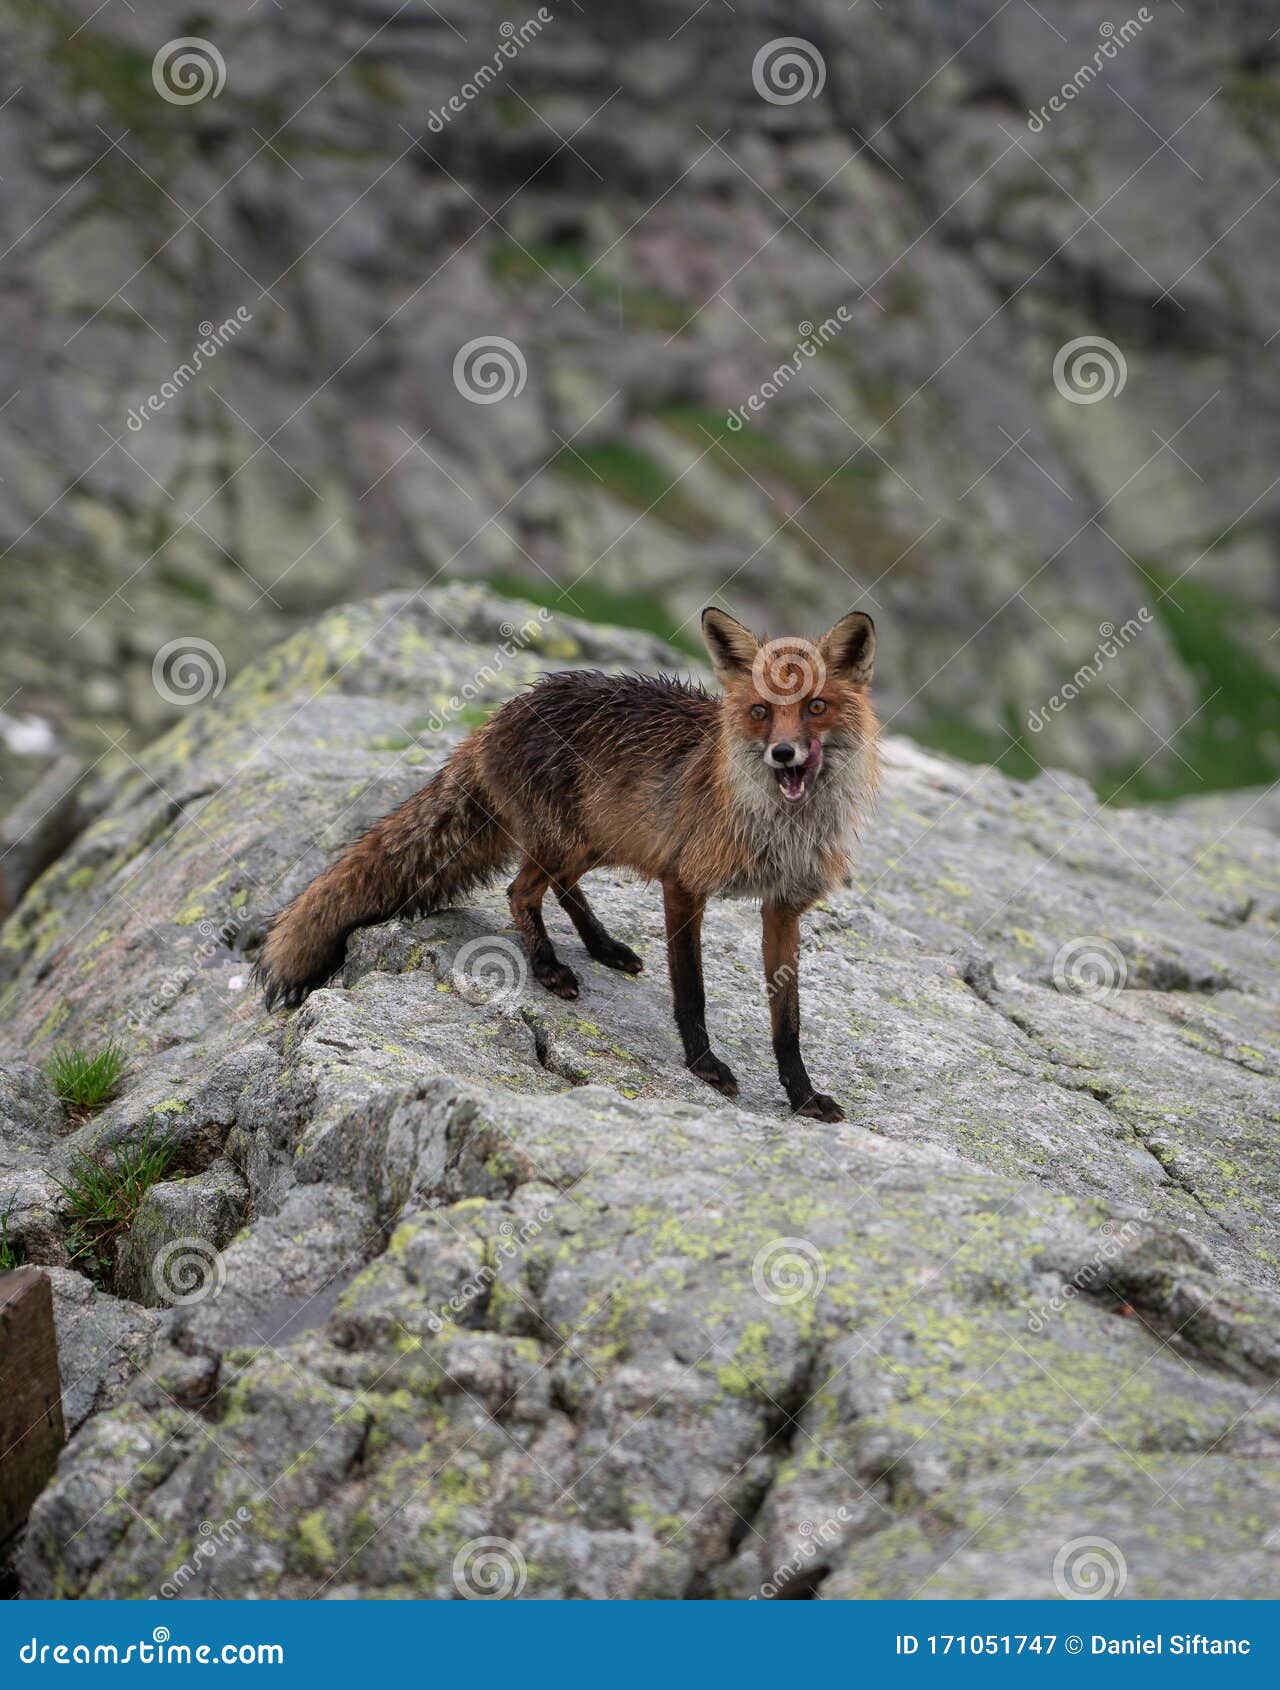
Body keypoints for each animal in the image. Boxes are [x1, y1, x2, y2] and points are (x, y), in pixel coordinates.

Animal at [255, 606, 879, 1121]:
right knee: (520, 891)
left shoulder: (784, 907)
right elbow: (691, 992)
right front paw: (704, 1065)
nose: (783, 754)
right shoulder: (684, 882)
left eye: (815, 707)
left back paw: (602, 946)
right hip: (571, 841)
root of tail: (501, 713)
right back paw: (548, 966)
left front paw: (803, 1096)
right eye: (759, 711)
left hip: (602, 841)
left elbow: (788, 1023)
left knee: (557, 887)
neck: (781, 828)